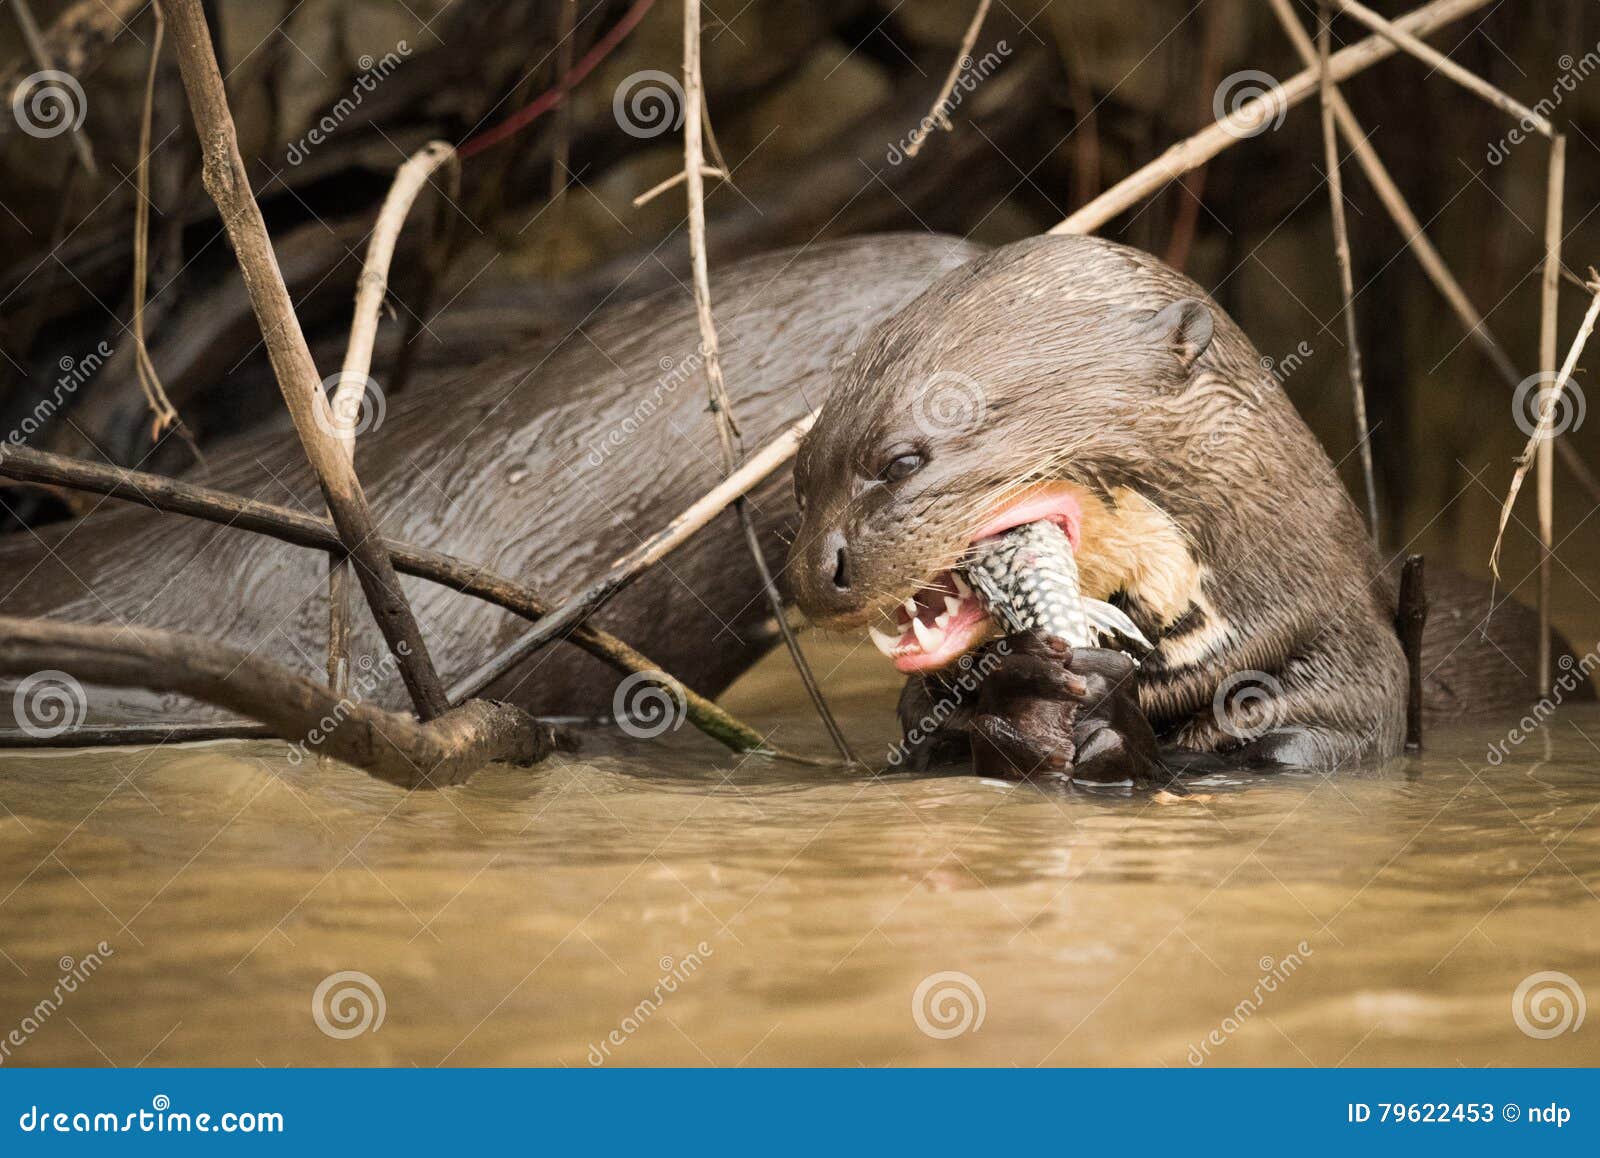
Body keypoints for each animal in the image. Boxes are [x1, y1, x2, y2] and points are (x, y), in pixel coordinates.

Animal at [787, 234, 1585, 784]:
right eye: (799, 478)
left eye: (901, 460)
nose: (813, 574)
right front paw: (1027, 695)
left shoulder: (1338, 708)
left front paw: (1094, 710)